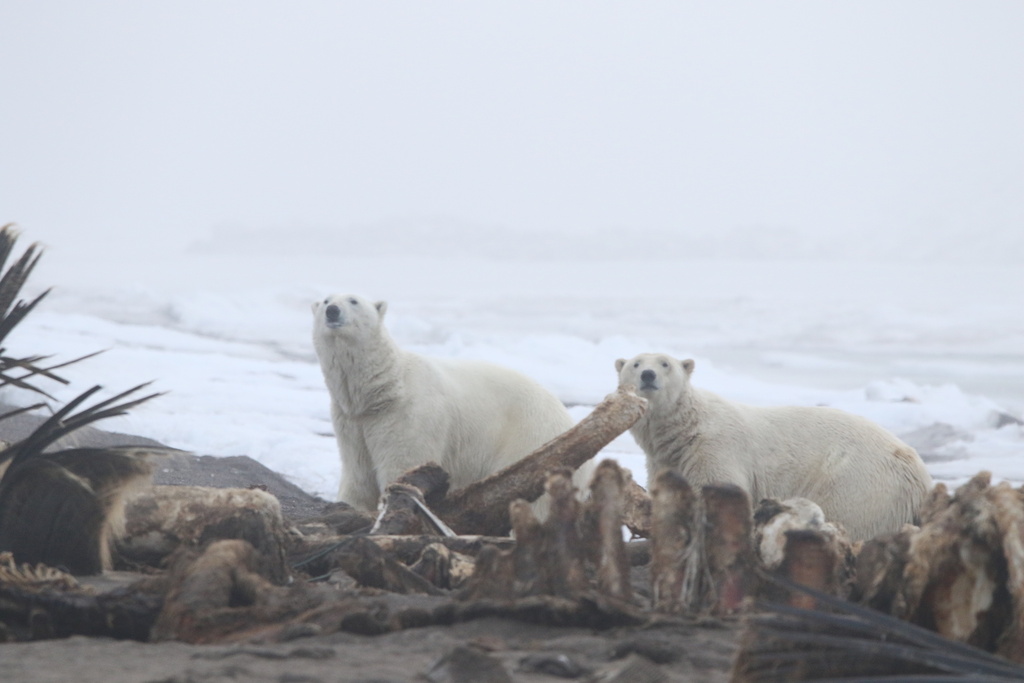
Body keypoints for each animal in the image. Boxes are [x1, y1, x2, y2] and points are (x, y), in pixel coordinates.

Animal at [313, 293, 582, 512]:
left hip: (528, 438)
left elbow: (403, 465)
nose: (332, 310)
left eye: (353, 300)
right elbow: (358, 474)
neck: (383, 390)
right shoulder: (353, 422)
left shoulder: (408, 417)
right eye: (326, 300)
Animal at [616, 353, 933, 541]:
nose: (647, 375)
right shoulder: (666, 458)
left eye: (665, 363)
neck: (685, 430)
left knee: (849, 518)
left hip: (858, 483)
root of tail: (919, 476)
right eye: (635, 363)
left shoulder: (716, 448)